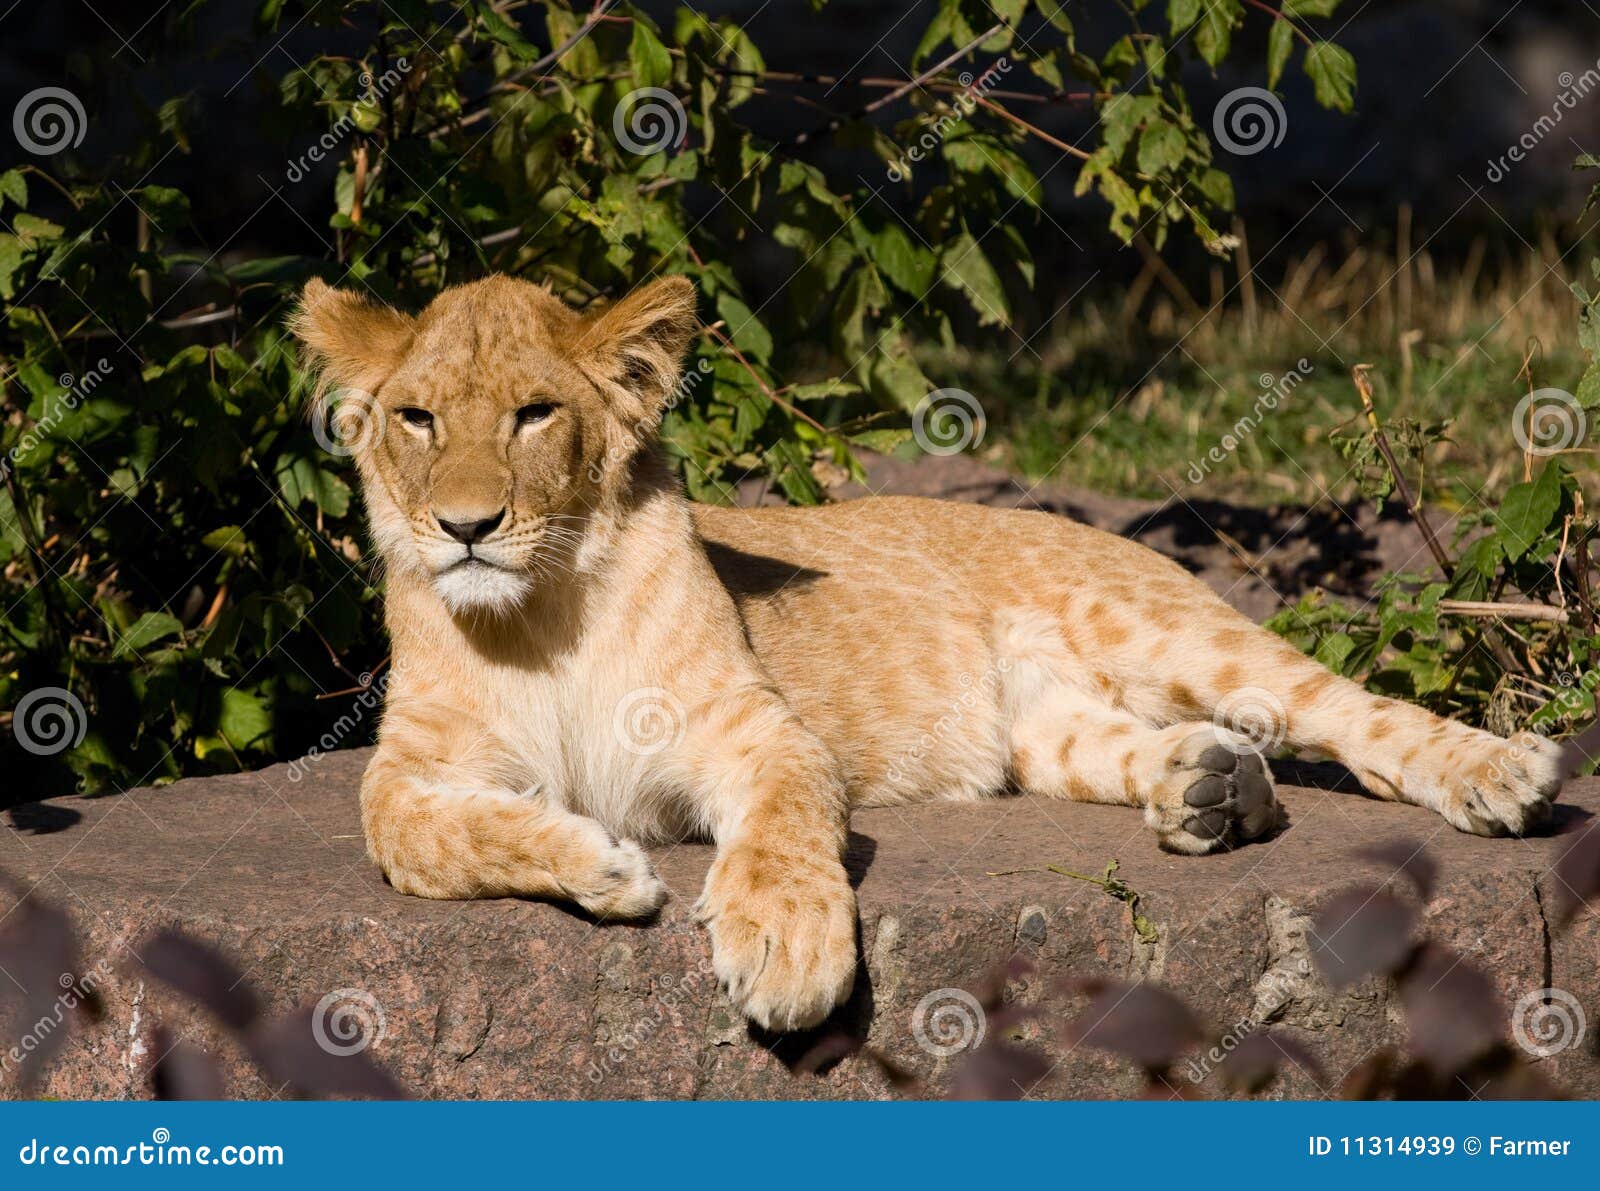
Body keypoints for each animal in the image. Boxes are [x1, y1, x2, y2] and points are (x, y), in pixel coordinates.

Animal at [292, 273, 1564, 1032]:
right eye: (416, 418)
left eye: (533, 415)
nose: (463, 526)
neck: (541, 615)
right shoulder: (407, 772)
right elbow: (418, 837)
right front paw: (596, 863)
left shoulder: (761, 732)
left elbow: (783, 838)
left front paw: (788, 949)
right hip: (1045, 733)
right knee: (1141, 744)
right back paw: (1209, 790)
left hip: (1170, 629)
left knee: (1349, 708)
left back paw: (1498, 774)